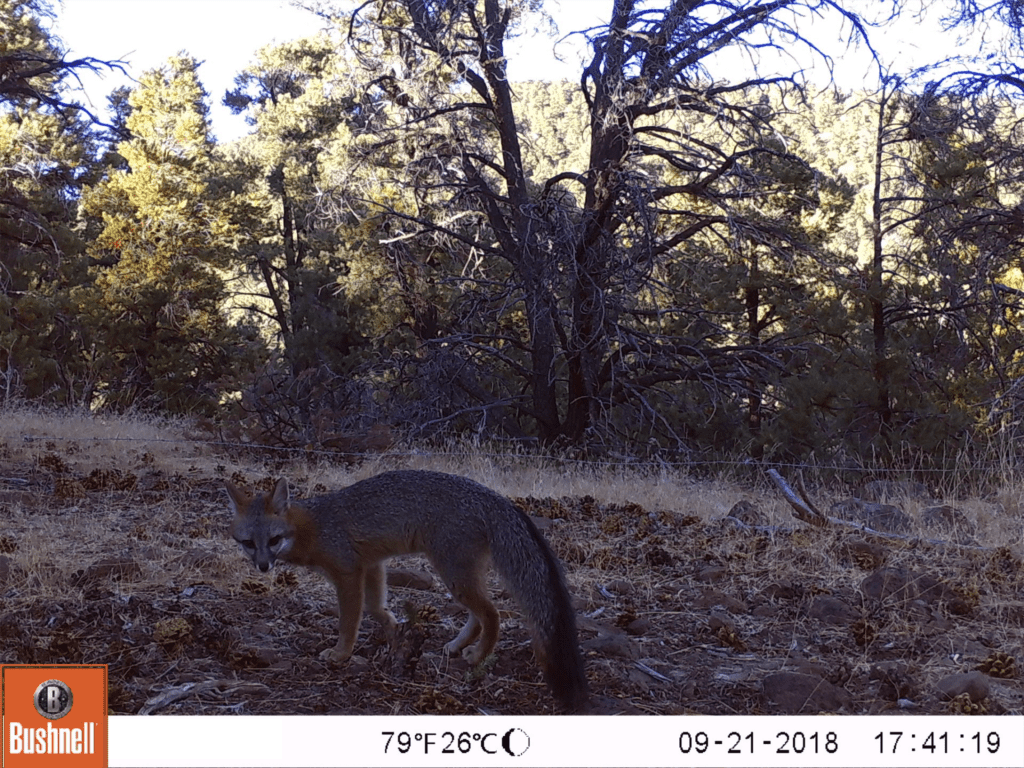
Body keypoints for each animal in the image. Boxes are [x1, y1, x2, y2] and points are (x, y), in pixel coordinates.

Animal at [225, 469, 589, 711]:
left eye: (274, 540)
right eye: (249, 543)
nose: (263, 566)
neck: (312, 526)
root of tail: (493, 497)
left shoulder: (347, 573)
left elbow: (349, 620)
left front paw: (341, 654)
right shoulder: (373, 565)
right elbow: (375, 608)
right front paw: (393, 632)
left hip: (452, 573)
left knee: (494, 613)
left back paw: (477, 656)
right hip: (459, 575)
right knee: (479, 613)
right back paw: (458, 646)